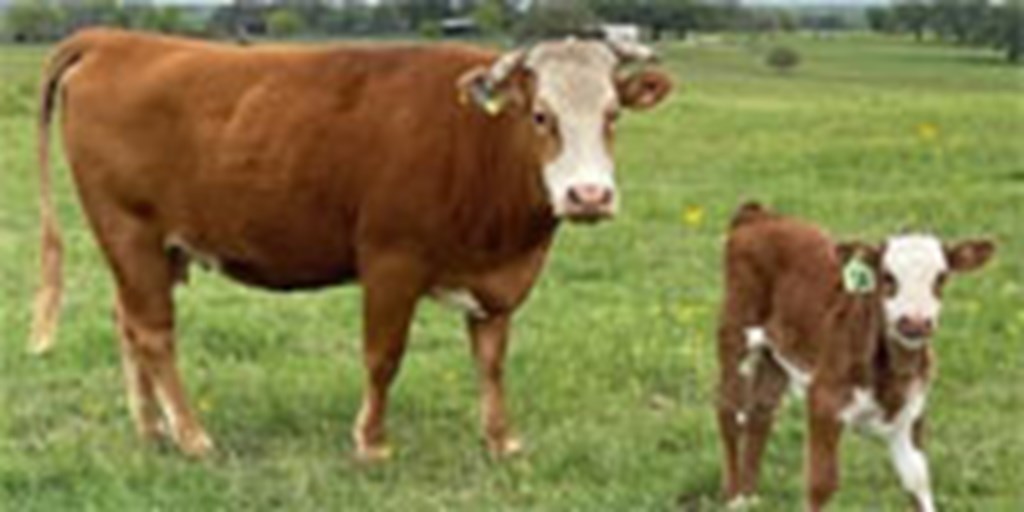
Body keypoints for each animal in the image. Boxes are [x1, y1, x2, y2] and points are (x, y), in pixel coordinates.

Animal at [29, 29, 672, 461]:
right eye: (541, 115)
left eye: (613, 114)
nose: (589, 194)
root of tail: (115, 39)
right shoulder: (391, 259)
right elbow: (383, 356)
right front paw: (372, 442)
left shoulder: (496, 280)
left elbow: (491, 361)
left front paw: (501, 439)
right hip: (129, 231)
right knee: (154, 333)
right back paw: (192, 436)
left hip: (151, 250)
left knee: (126, 324)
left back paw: (151, 430)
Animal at [716, 202, 995, 511]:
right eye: (887, 277)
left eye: (941, 277)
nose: (915, 323)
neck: (891, 374)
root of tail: (760, 213)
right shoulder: (823, 401)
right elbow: (821, 484)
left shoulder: (911, 411)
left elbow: (918, 479)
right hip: (735, 332)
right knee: (730, 410)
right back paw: (735, 498)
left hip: (775, 356)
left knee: (761, 413)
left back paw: (751, 496)